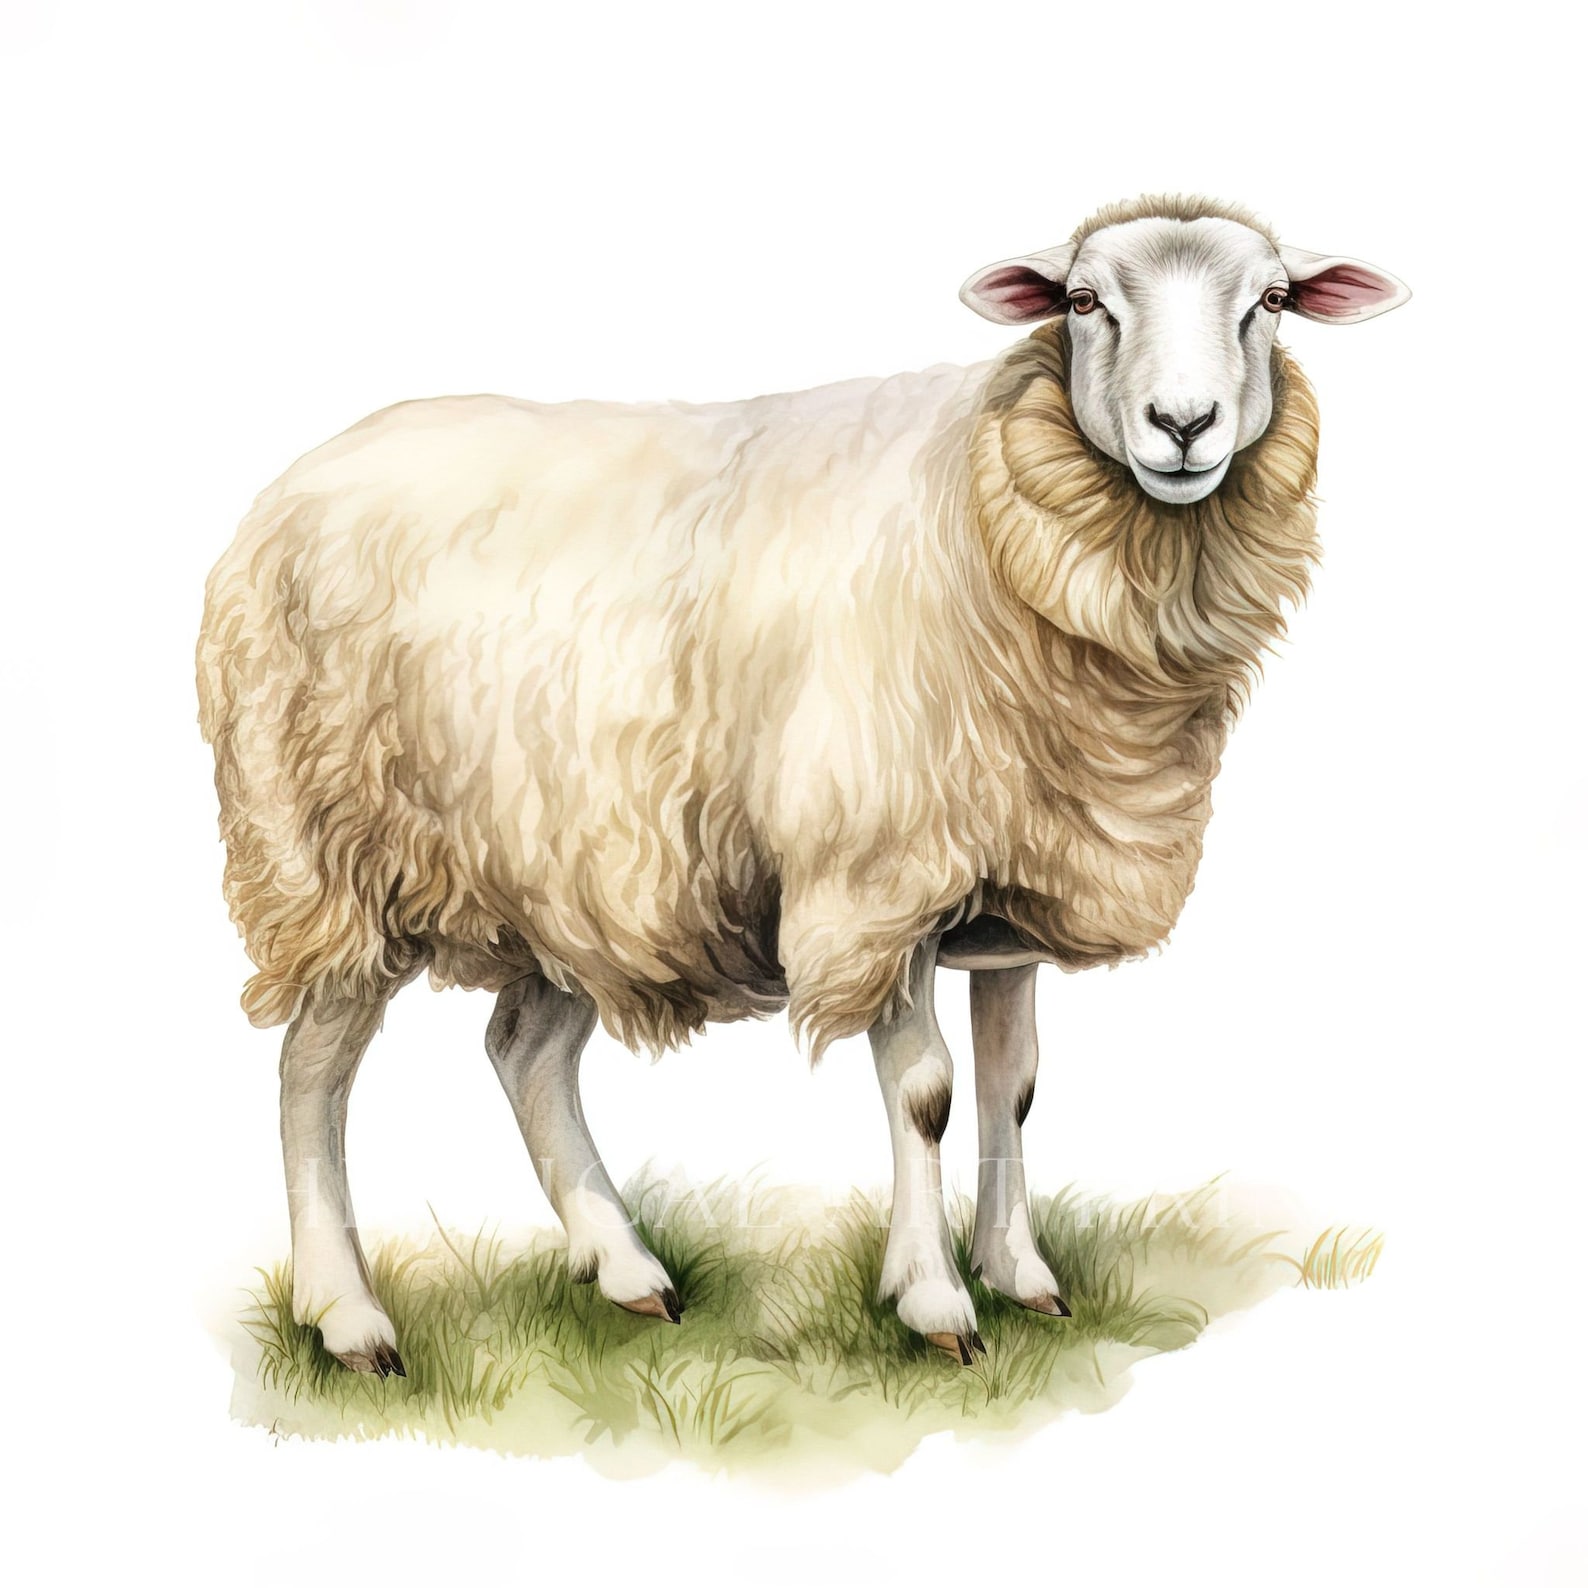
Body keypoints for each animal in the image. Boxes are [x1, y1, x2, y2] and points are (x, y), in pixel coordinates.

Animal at [197, 193, 1408, 1373]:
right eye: (1081, 301)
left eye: (1270, 303)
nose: (1184, 425)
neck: (985, 516)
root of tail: (292, 483)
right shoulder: (881, 877)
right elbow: (927, 1095)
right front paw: (934, 1302)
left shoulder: (1010, 888)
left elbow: (1013, 1085)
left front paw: (1021, 1275)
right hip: (325, 849)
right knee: (310, 1074)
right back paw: (347, 1316)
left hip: (571, 869)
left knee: (522, 1054)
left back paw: (625, 1269)